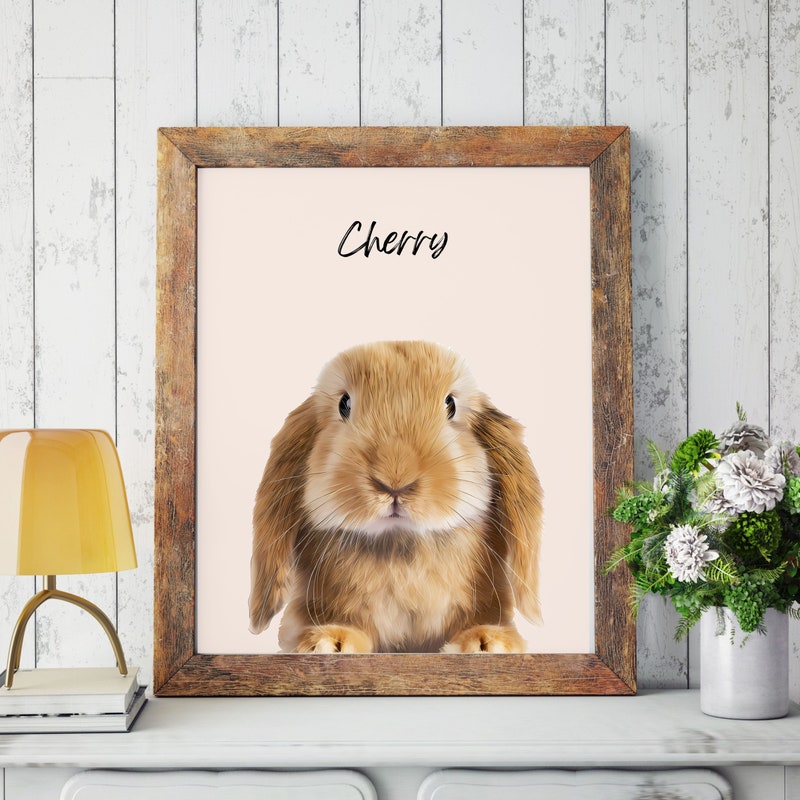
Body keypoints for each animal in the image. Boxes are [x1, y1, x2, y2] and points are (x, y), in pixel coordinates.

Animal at [249, 340, 543, 654]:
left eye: (450, 404)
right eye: (344, 404)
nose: (395, 481)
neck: (400, 544)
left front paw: (488, 641)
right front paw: (329, 640)